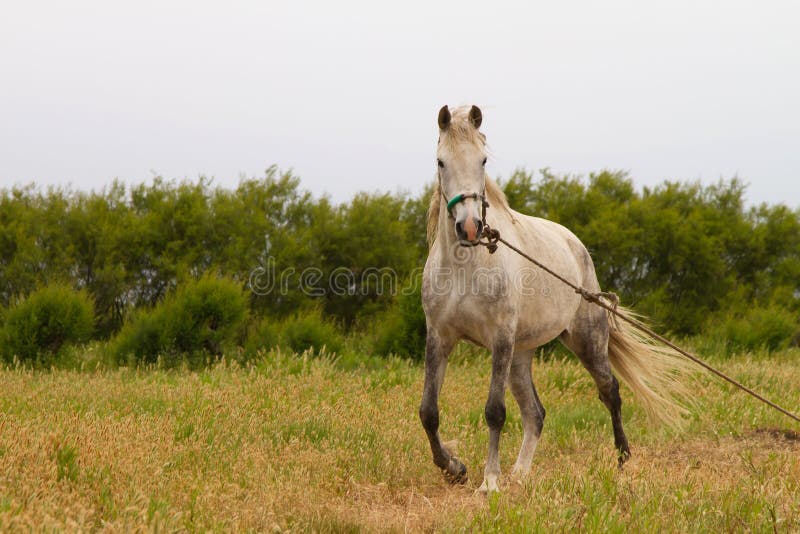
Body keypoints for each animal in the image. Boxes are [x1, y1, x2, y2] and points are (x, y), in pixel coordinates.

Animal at [419, 105, 694, 493]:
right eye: (441, 161)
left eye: (483, 160)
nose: (470, 228)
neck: (465, 267)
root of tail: (574, 244)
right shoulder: (440, 338)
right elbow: (429, 412)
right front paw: (454, 468)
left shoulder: (500, 339)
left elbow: (494, 412)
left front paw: (490, 482)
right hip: (520, 355)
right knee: (535, 413)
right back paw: (520, 473)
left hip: (585, 339)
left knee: (609, 390)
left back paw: (622, 459)